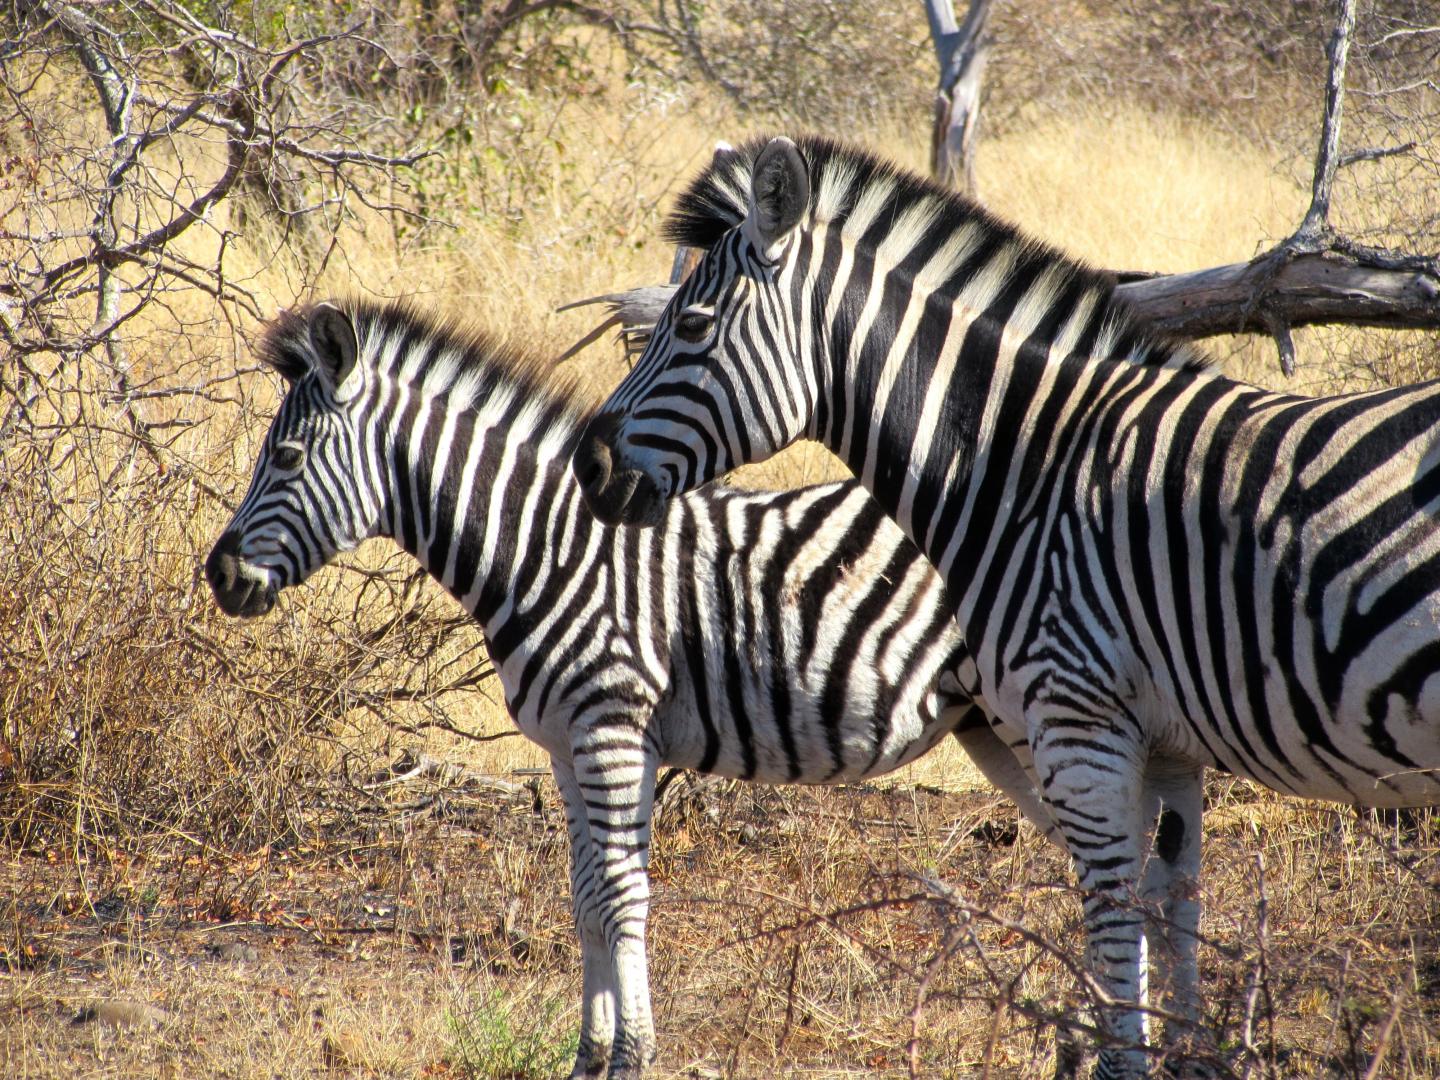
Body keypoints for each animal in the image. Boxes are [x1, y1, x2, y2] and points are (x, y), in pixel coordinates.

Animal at [205, 297, 1072, 1079]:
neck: (553, 551)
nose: (217, 576)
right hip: (997, 729)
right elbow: (586, 898)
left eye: (286, 457)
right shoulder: (564, 747)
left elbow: (624, 897)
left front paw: (633, 1056)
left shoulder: (613, 734)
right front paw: (588, 1058)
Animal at [573, 134, 1440, 1078]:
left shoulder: (1079, 721)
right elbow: (1174, 909)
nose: (587, 464)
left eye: (693, 326)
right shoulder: (1167, 744)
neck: (1030, 469)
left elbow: (1118, 930)